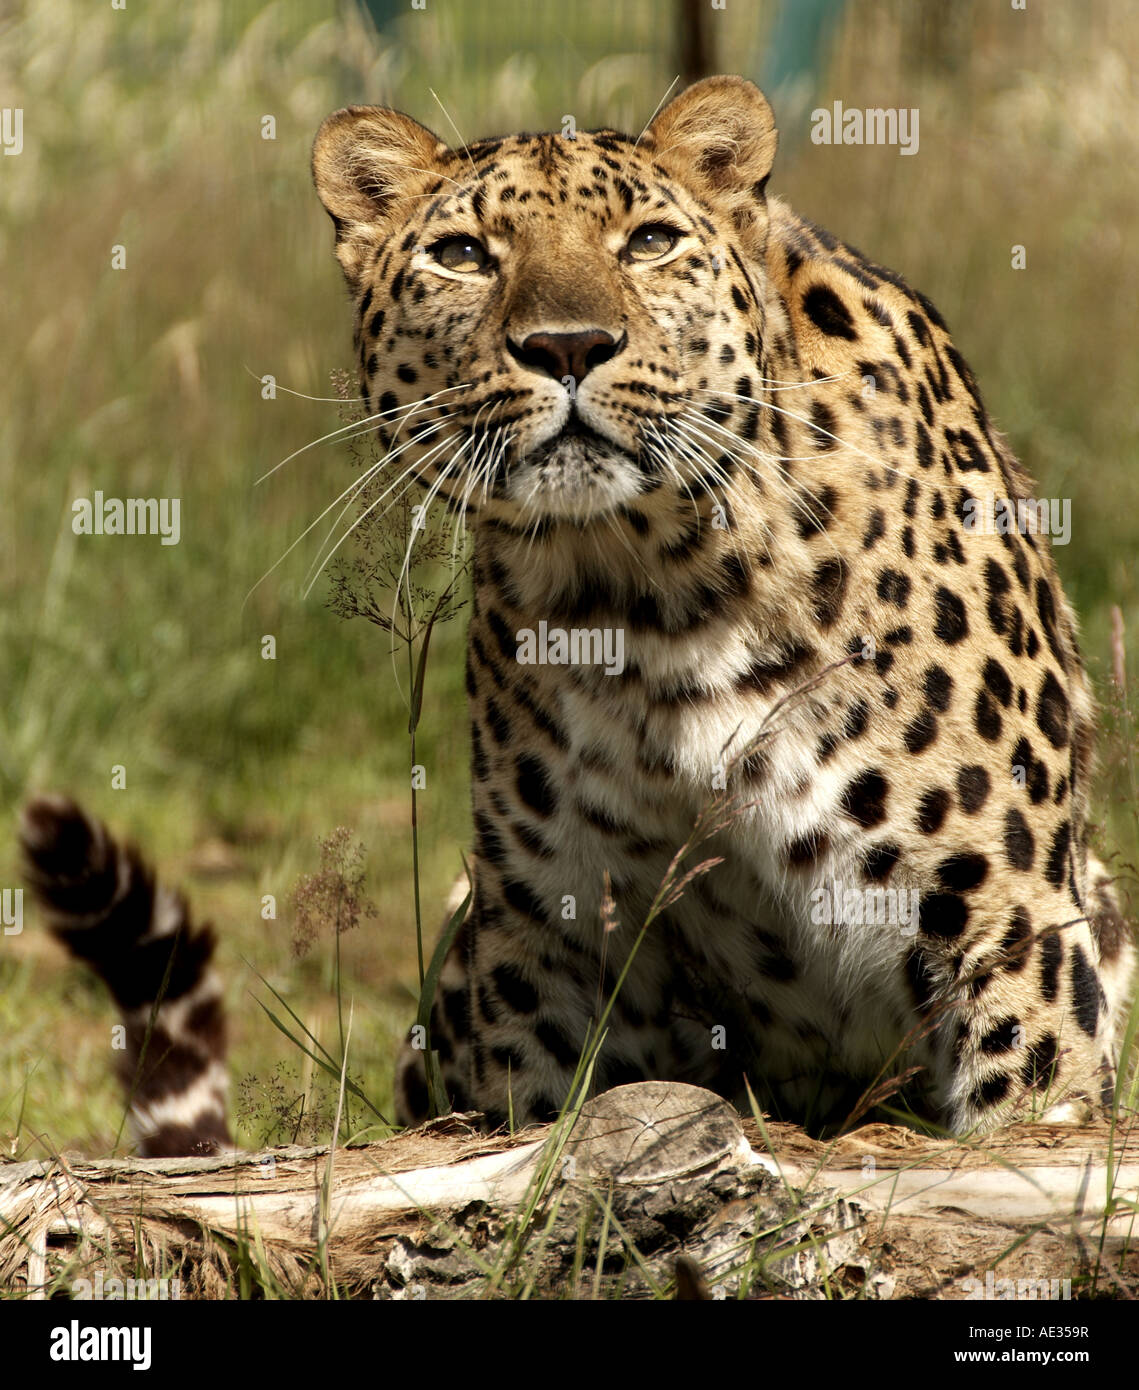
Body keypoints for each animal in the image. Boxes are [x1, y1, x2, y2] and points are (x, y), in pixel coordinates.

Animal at [20, 76, 1134, 1156]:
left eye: (647, 241)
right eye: (463, 255)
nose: (566, 345)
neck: (649, 584)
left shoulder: (1000, 914)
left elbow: (1030, 1114)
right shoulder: (543, 933)